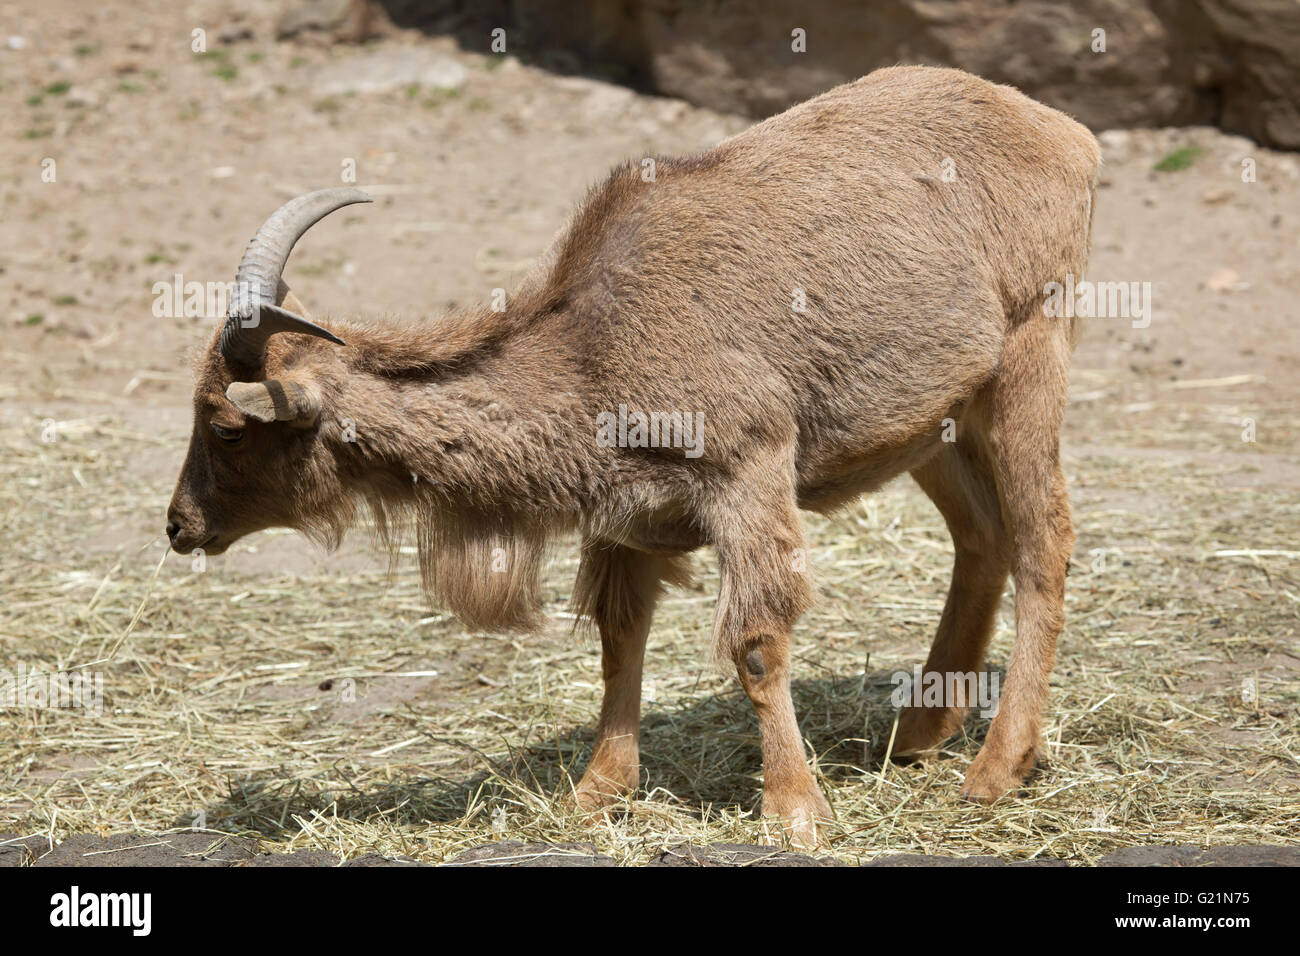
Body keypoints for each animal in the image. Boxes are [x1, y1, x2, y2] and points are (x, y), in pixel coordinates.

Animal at [167, 65, 1100, 846]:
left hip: (1028, 358)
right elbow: (621, 638)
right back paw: (919, 733)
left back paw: (996, 769)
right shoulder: (627, 521)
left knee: (1042, 540)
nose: (179, 526)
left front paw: (795, 810)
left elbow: (757, 644)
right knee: (981, 537)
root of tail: (1065, 135)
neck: (594, 345)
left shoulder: (748, 476)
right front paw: (597, 791)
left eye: (224, 424)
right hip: (928, 422)